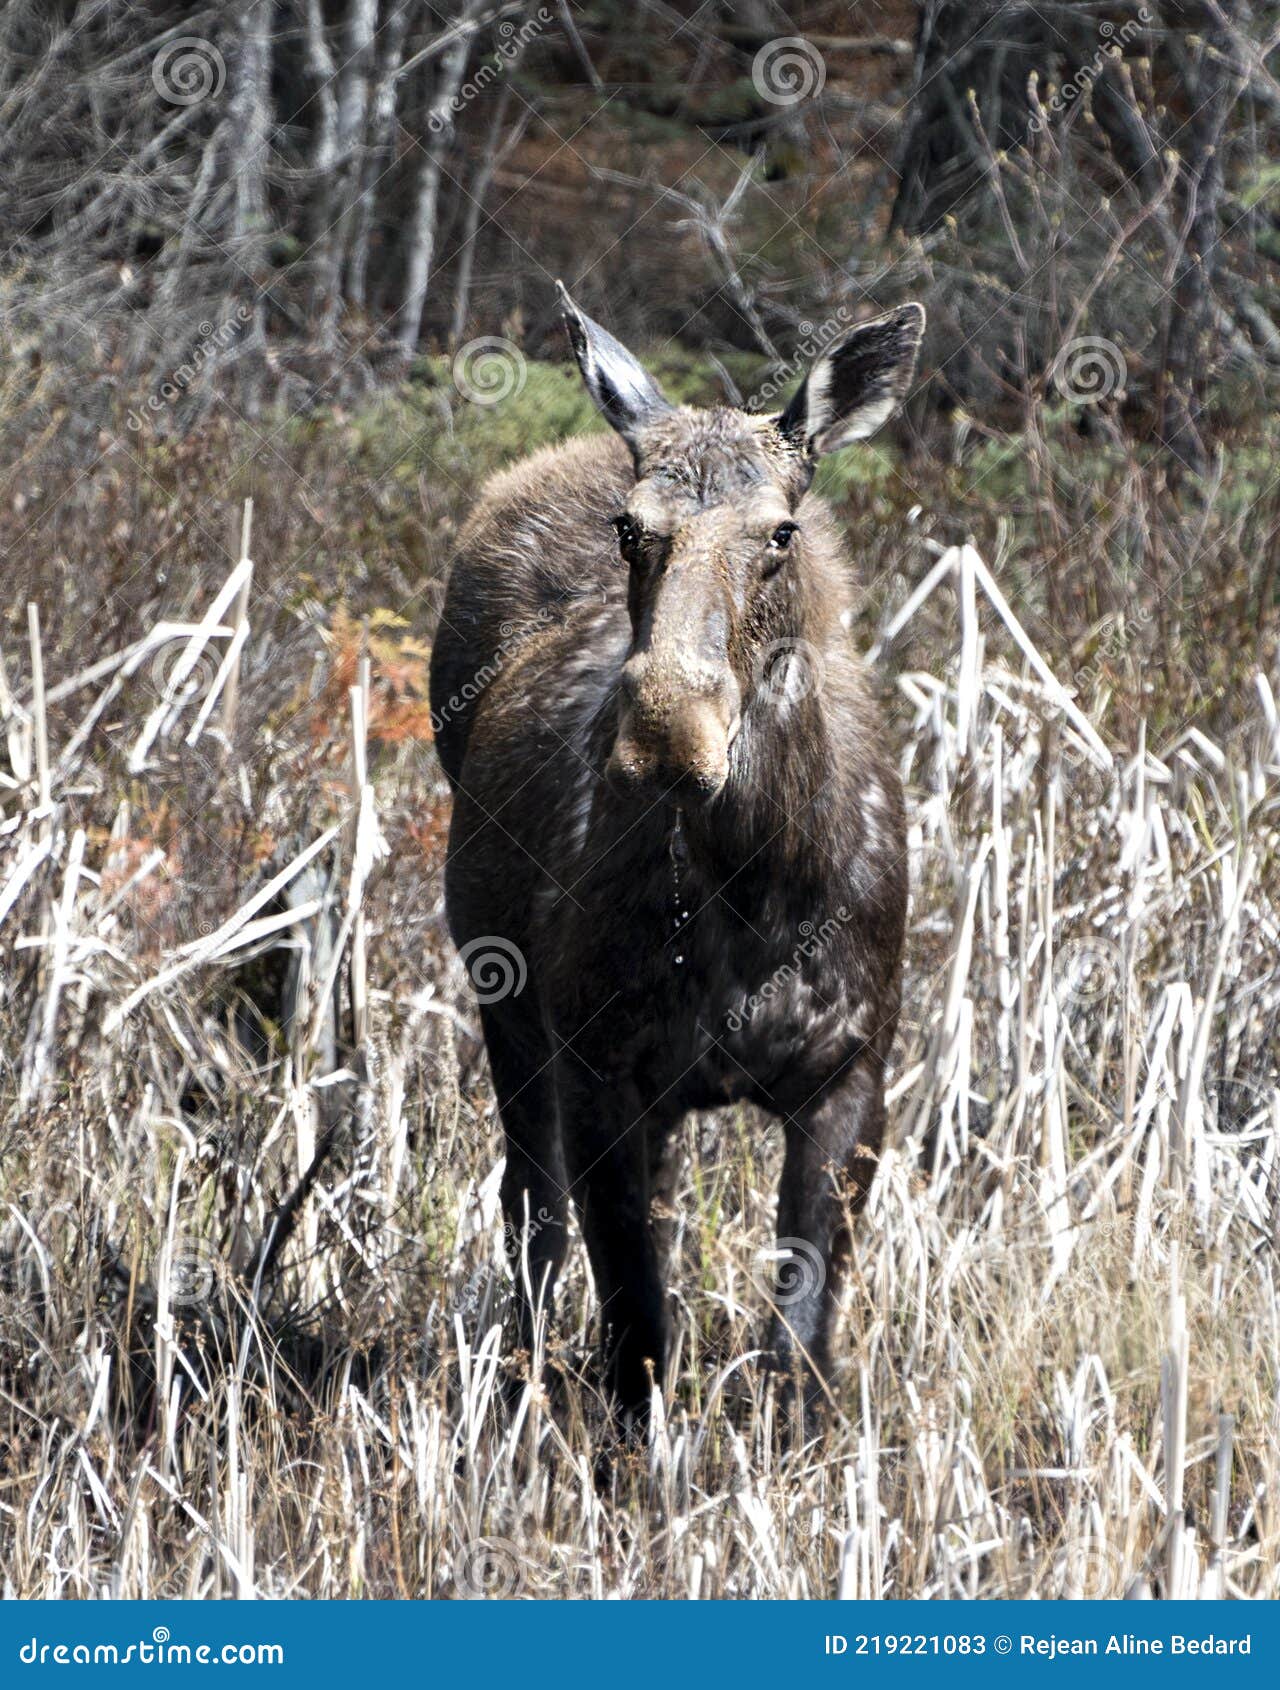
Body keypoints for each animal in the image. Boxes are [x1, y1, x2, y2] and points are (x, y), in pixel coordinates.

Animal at [428, 283, 923, 1429]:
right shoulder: (600, 1061)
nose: (667, 729)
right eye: (631, 526)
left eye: (780, 529)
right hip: (505, 1002)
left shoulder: (853, 1069)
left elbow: (797, 1345)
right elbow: (636, 1334)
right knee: (530, 1211)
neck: (761, 894)